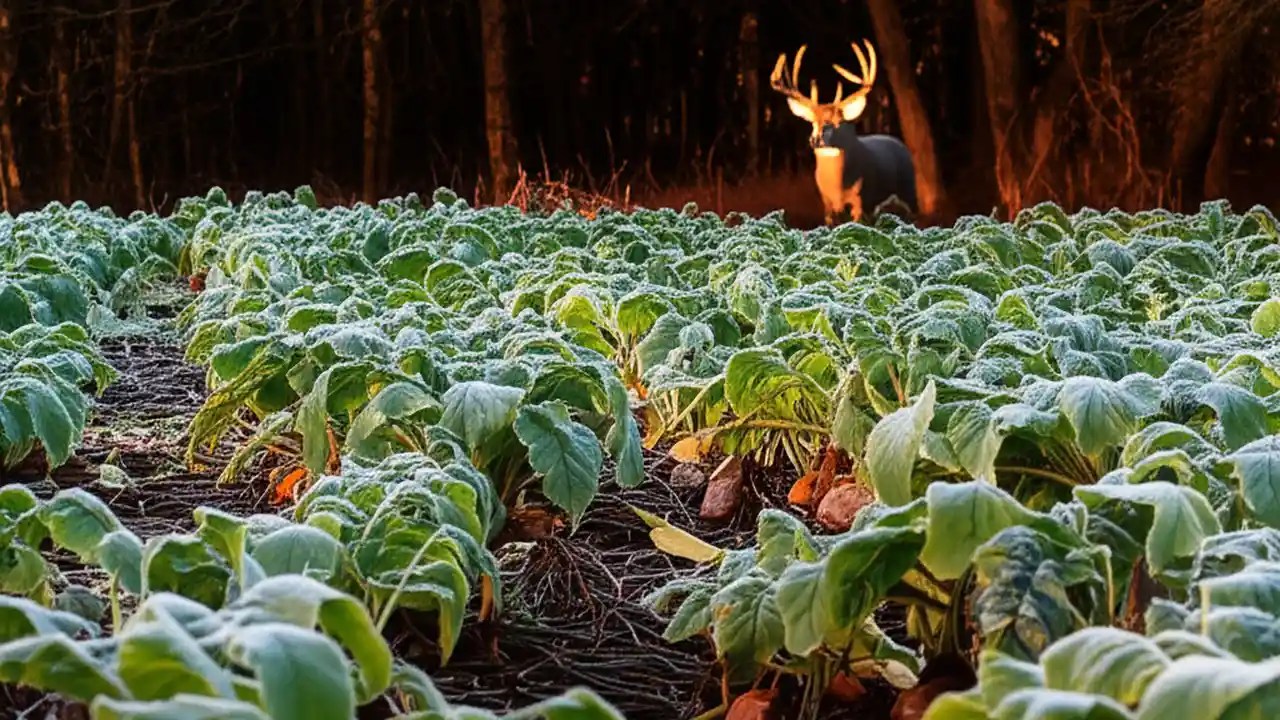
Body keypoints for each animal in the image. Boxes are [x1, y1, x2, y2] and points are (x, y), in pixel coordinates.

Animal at [770, 40, 917, 226]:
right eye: (812, 122)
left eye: (837, 122)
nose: (815, 139)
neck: (838, 187)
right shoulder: (826, 203)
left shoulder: (862, 199)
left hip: (908, 192)